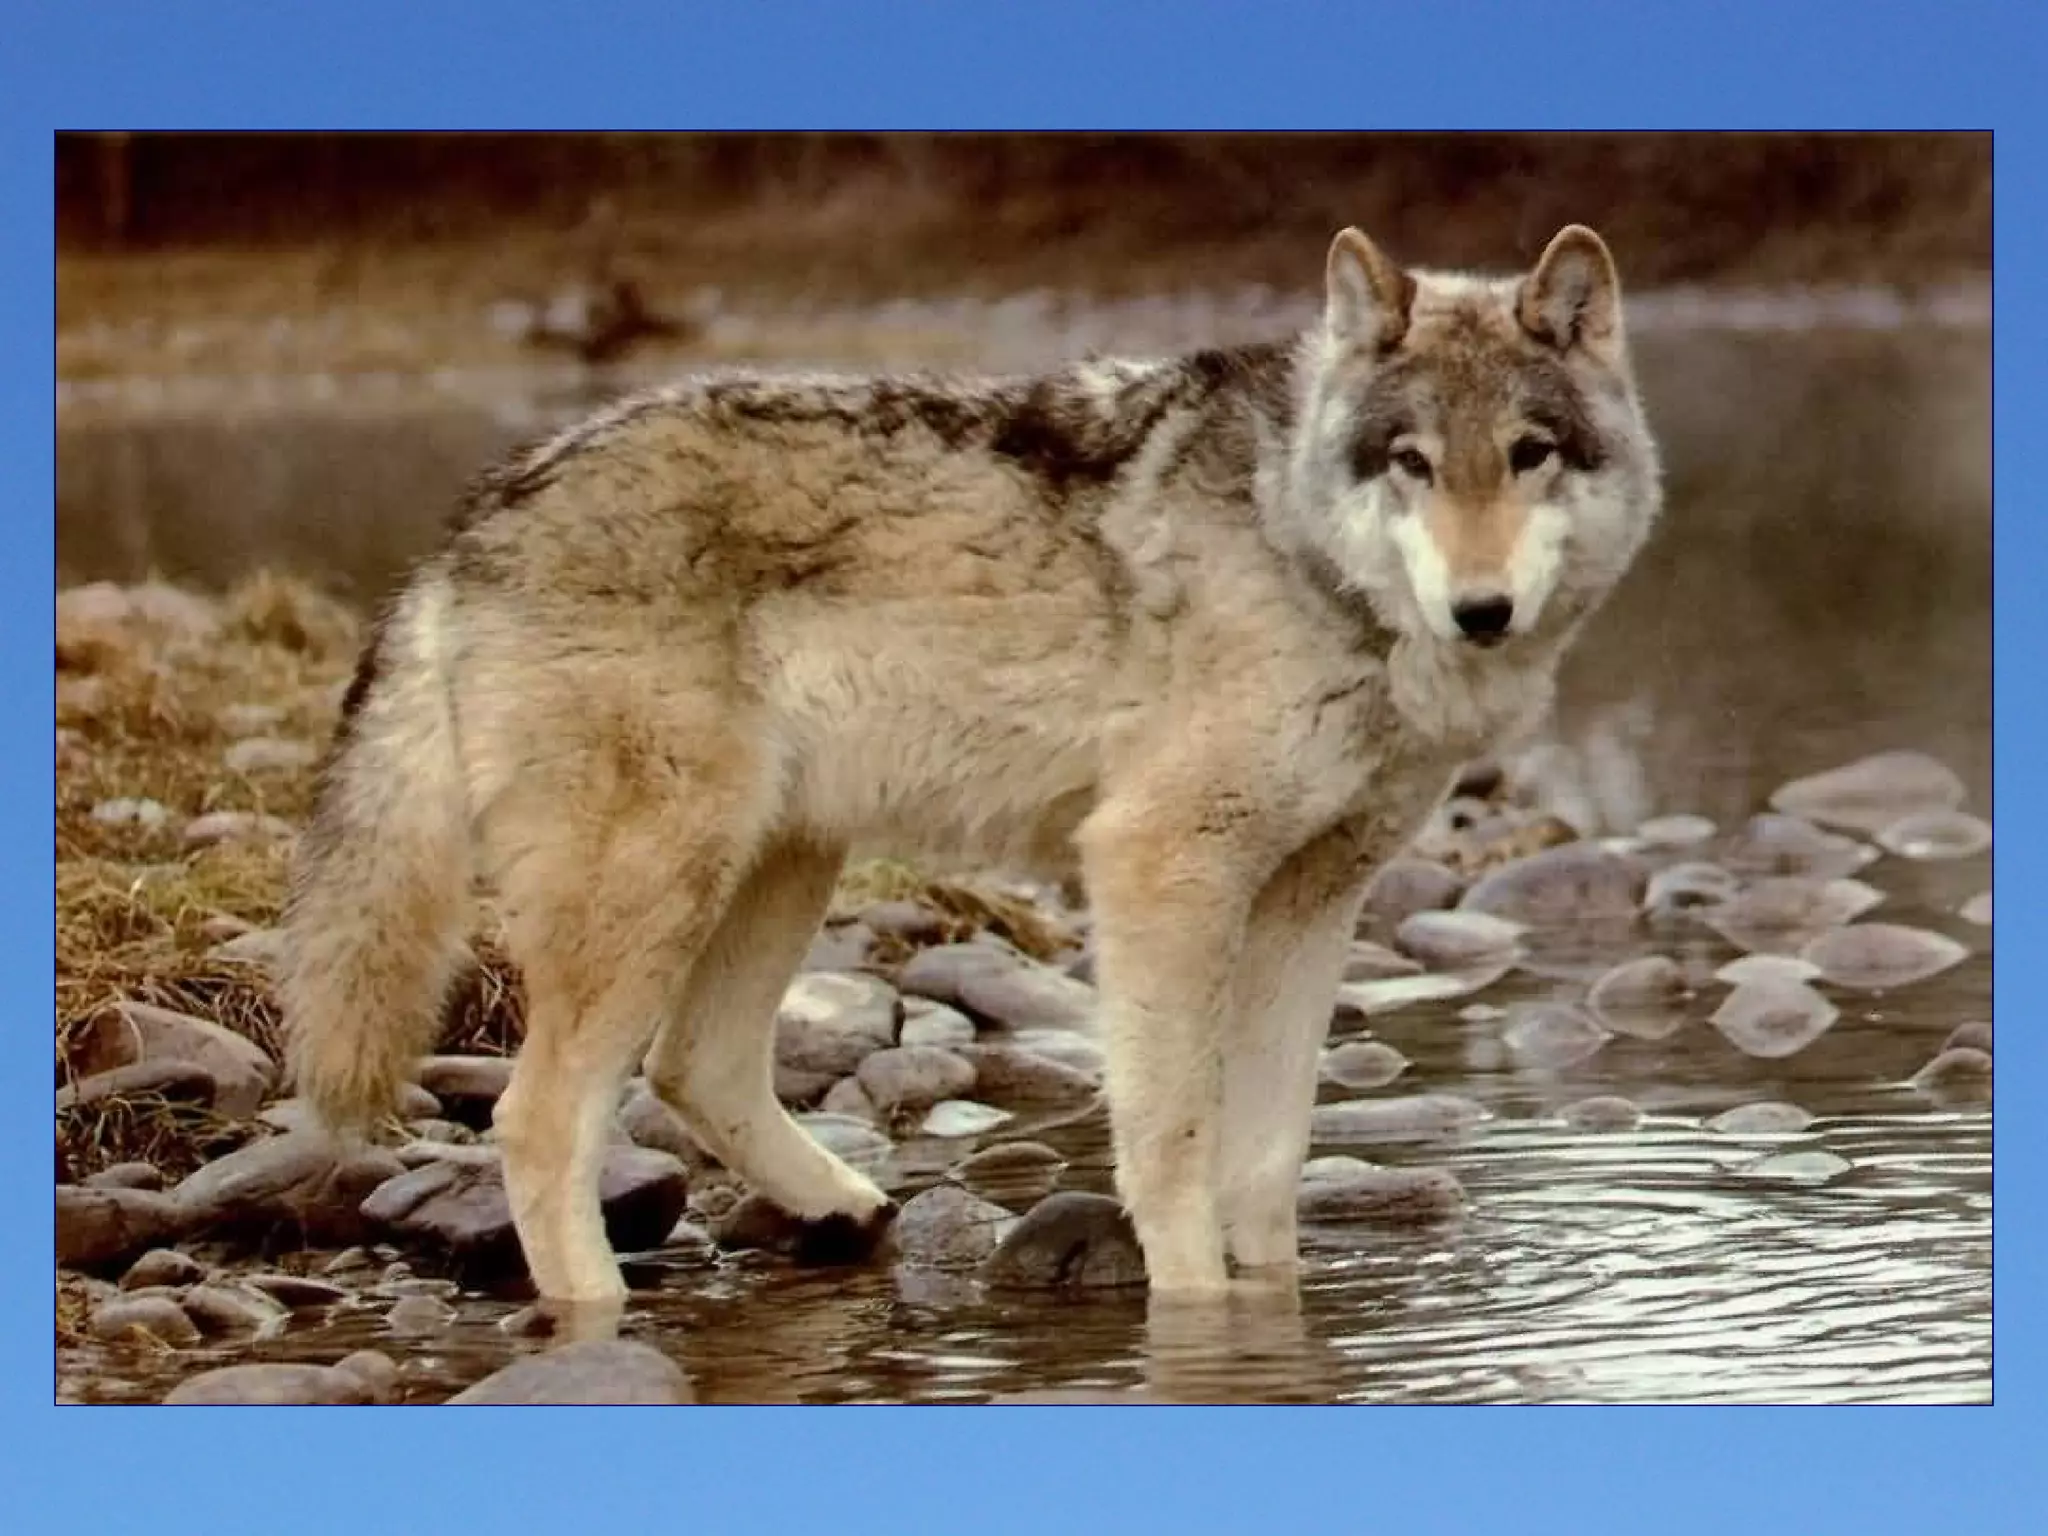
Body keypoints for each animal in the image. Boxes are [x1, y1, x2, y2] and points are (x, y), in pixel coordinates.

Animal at [281, 224, 1662, 1307]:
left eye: (1528, 453)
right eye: (1411, 462)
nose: (1479, 611)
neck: (1300, 552)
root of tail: (477, 517)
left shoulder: (1312, 903)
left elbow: (1267, 1161)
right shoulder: (1157, 870)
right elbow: (1171, 1143)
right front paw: (1194, 1309)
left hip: (781, 861)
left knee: (693, 1066)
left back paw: (844, 1211)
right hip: (657, 889)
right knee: (539, 1119)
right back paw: (599, 1323)